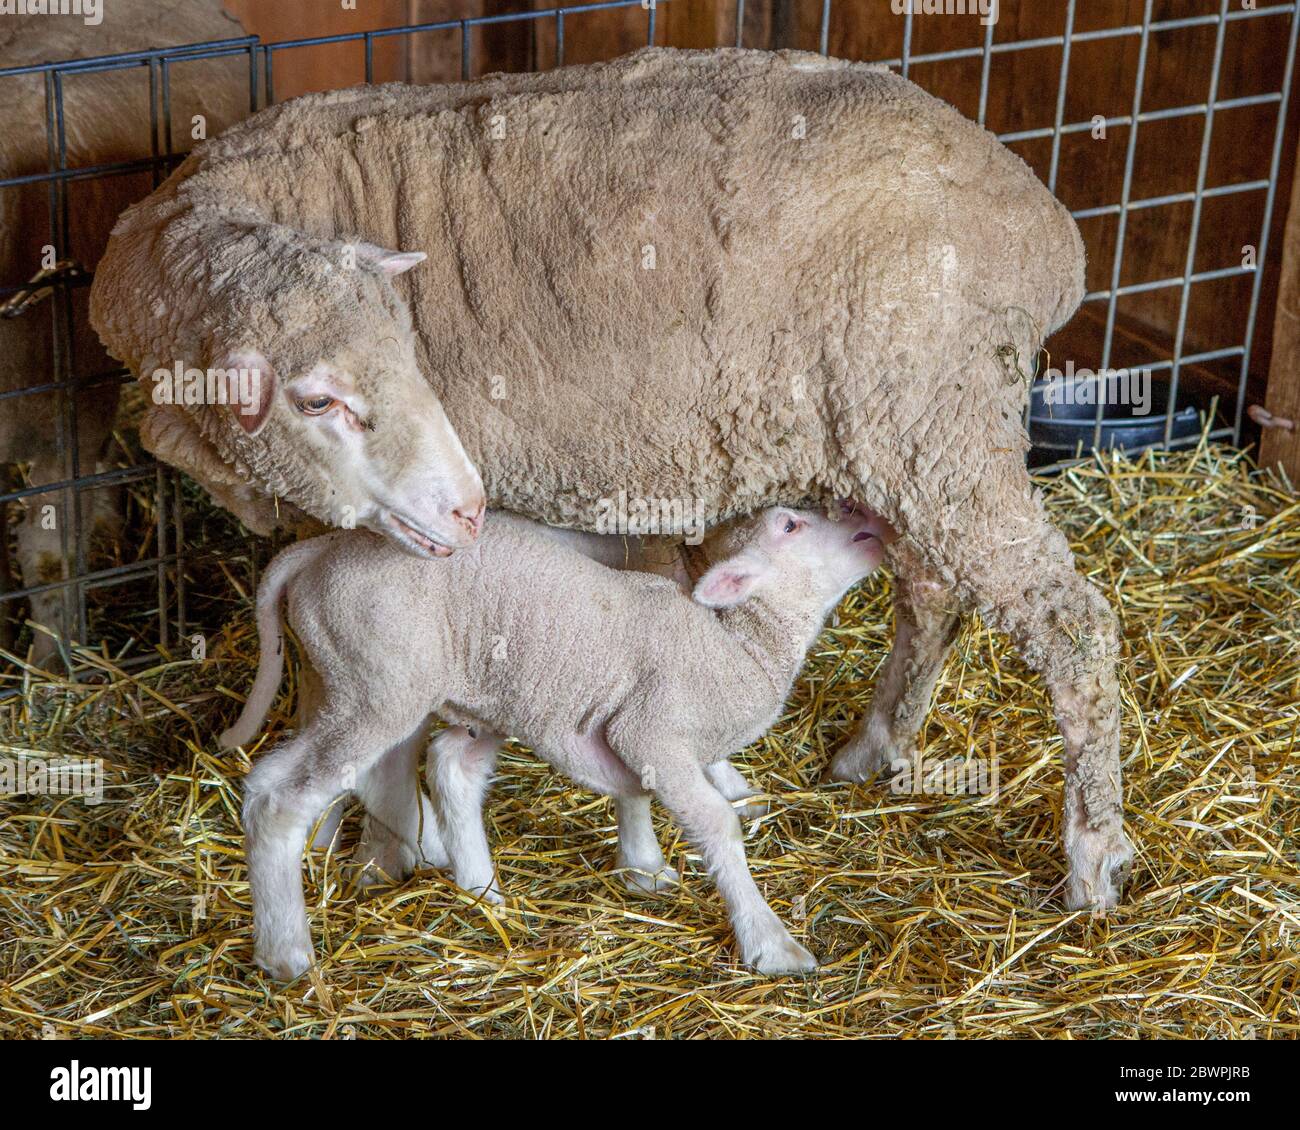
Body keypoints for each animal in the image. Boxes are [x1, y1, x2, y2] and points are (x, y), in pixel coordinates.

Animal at [90, 47, 1133, 909]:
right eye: (317, 401)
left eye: (410, 355)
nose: (468, 507)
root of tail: (1047, 231)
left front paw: (380, 846)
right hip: (904, 436)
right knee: (930, 593)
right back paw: (873, 749)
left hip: (935, 417)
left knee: (1070, 624)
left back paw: (1092, 855)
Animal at [221, 503, 890, 979]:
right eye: (791, 523)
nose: (868, 516)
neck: (738, 644)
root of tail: (317, 549)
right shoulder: (653, 728)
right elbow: (715, 823)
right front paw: (771, 942)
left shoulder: (625, 730)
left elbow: (632, 791)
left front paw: (643, 866)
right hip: (377, 687)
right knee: (281, 797)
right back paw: (286, 952)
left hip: (463, 693)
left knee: (440, 765)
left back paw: (480, 887)